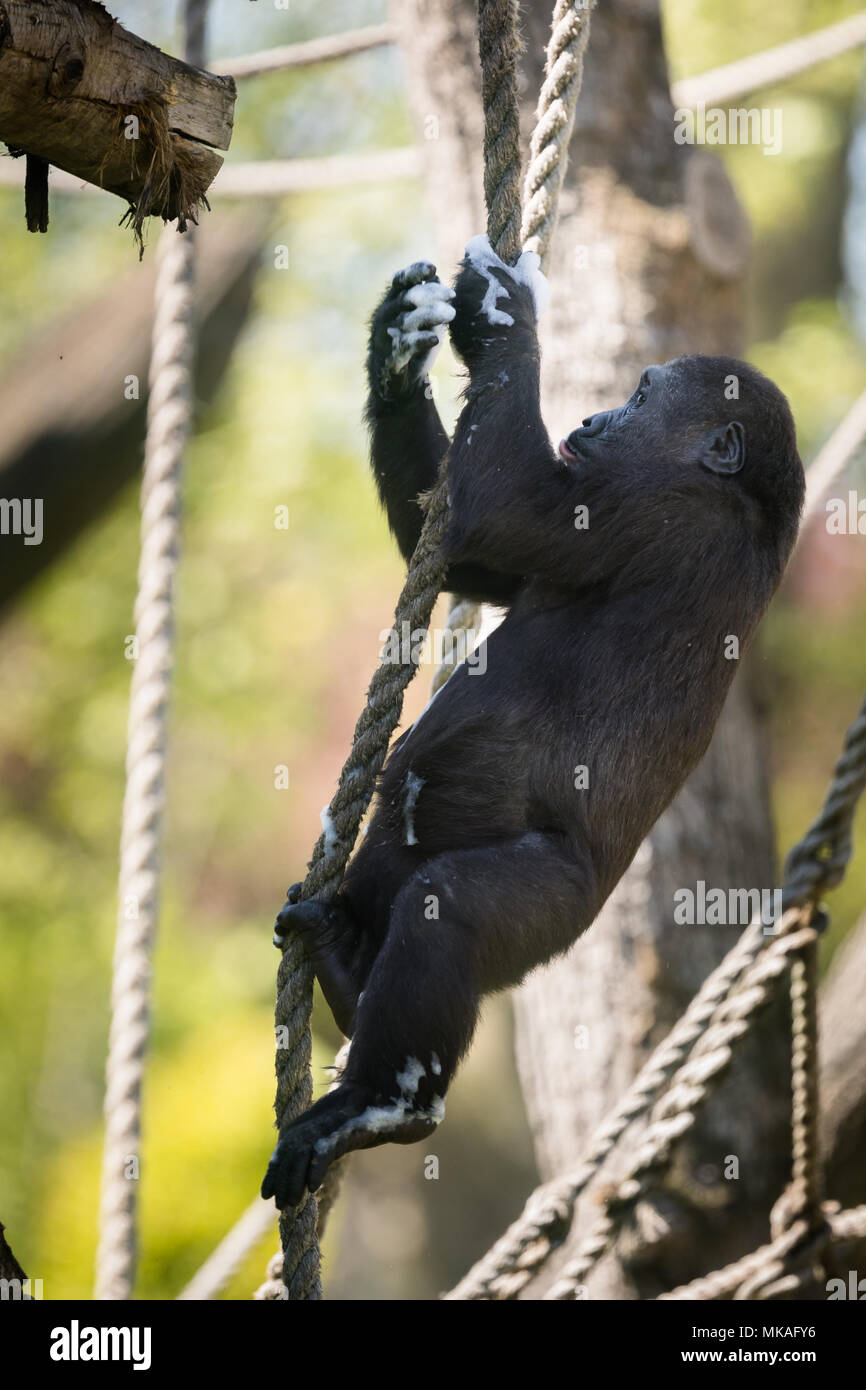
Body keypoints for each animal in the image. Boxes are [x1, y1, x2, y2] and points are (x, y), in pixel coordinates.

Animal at [261, 236, 805, 1211]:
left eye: (641, 396)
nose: (592, 413)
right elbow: (474, 559)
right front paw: (398, 344)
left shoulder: (653, 504)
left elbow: (506, 510)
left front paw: (505, 315)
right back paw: (346, 967)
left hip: (556, 912)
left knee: (449, 909)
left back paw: (386, 1103)